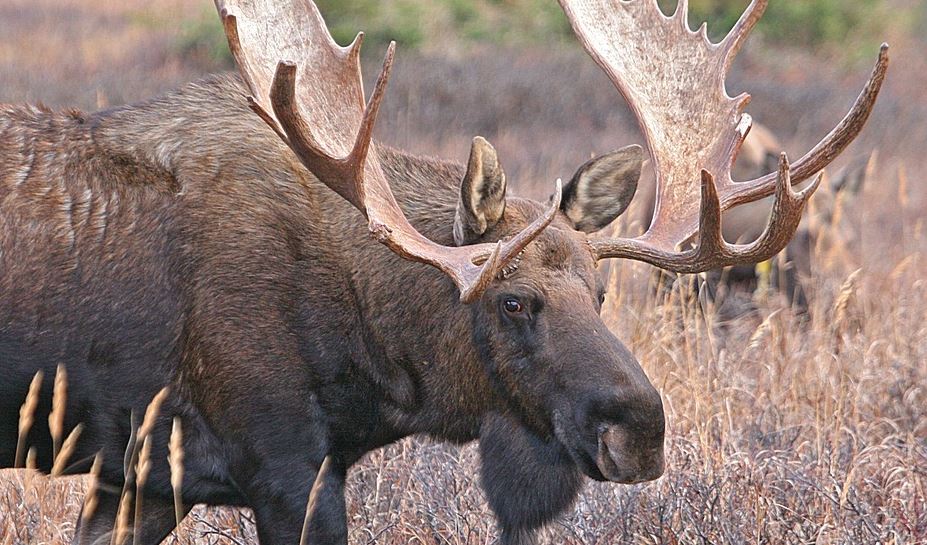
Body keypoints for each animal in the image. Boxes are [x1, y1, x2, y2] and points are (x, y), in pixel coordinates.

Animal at [0, 0, 887, 543]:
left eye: (601, 292)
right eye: (514, 301)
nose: (640, 427)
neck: (372, 357)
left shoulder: (143, 477)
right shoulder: (285, 466)